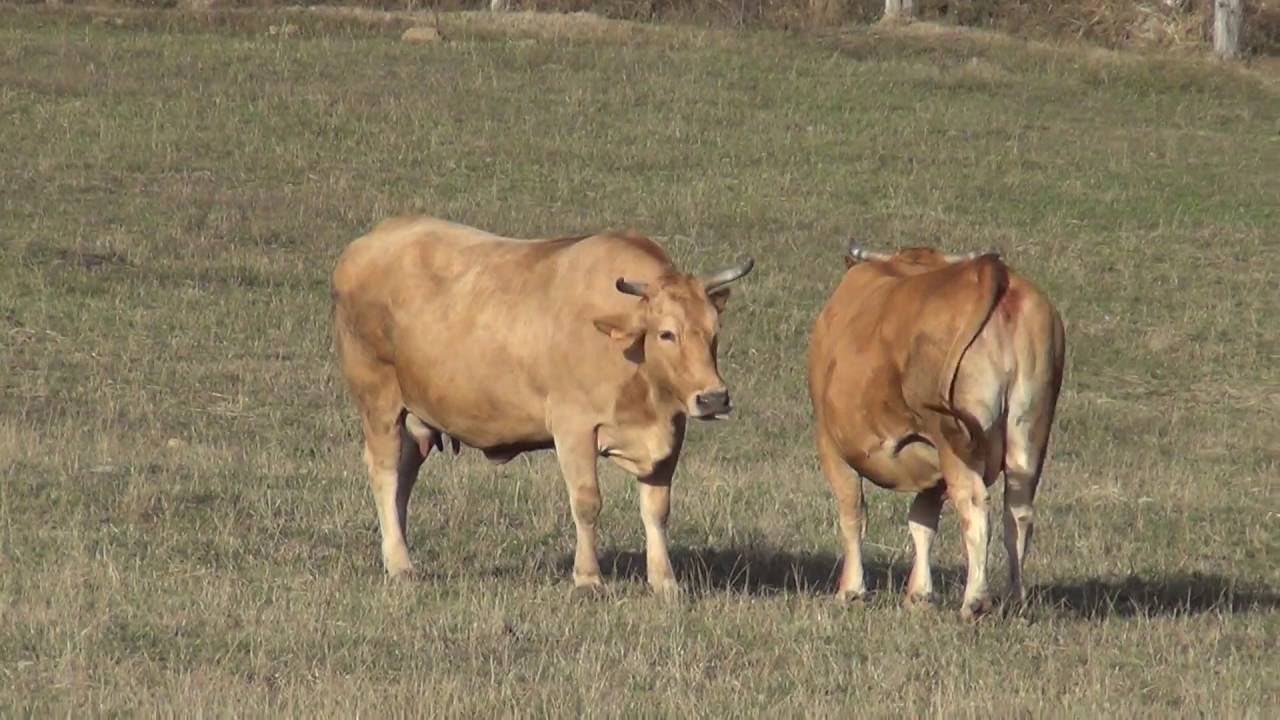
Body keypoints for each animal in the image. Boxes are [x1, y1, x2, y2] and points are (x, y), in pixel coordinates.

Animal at [331, 216, 754, 595]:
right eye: (666, 333)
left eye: (714, 331)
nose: (713, 397)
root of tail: (371, 240)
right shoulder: (574, 428)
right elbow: (587, 501)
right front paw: (588, 578)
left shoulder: (671, 432)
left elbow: (657, 509)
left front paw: (664, 581)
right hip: (379, 400)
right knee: (386, 474)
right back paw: (400, 564)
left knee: (403, 478)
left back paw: (397, 553)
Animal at [806, 243, 1065, 620]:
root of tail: (989, 272)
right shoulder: (931, 467)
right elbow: (922, 522)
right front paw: (919, 594)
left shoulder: (830, 443)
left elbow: (853, 513)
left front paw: (851, 590)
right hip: (1028, 434)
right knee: (1018, 513)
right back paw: (1015, 599)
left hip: (953, 440)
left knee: (974, 505)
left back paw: (975, 601)